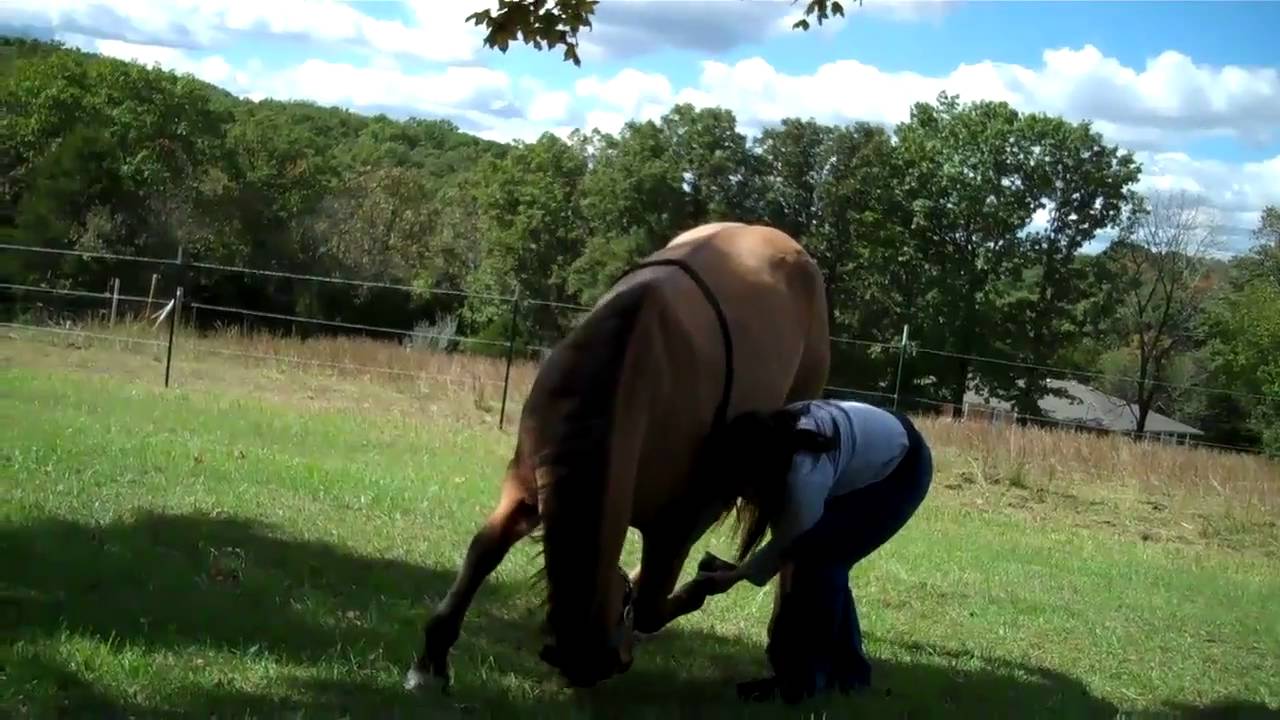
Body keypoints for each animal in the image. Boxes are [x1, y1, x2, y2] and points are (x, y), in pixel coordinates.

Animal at [405, 221, 832, 691]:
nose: (619, 660)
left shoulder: (678, 520)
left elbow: (651, 604)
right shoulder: (526, 485)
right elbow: (484, 550)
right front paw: (431, 660)